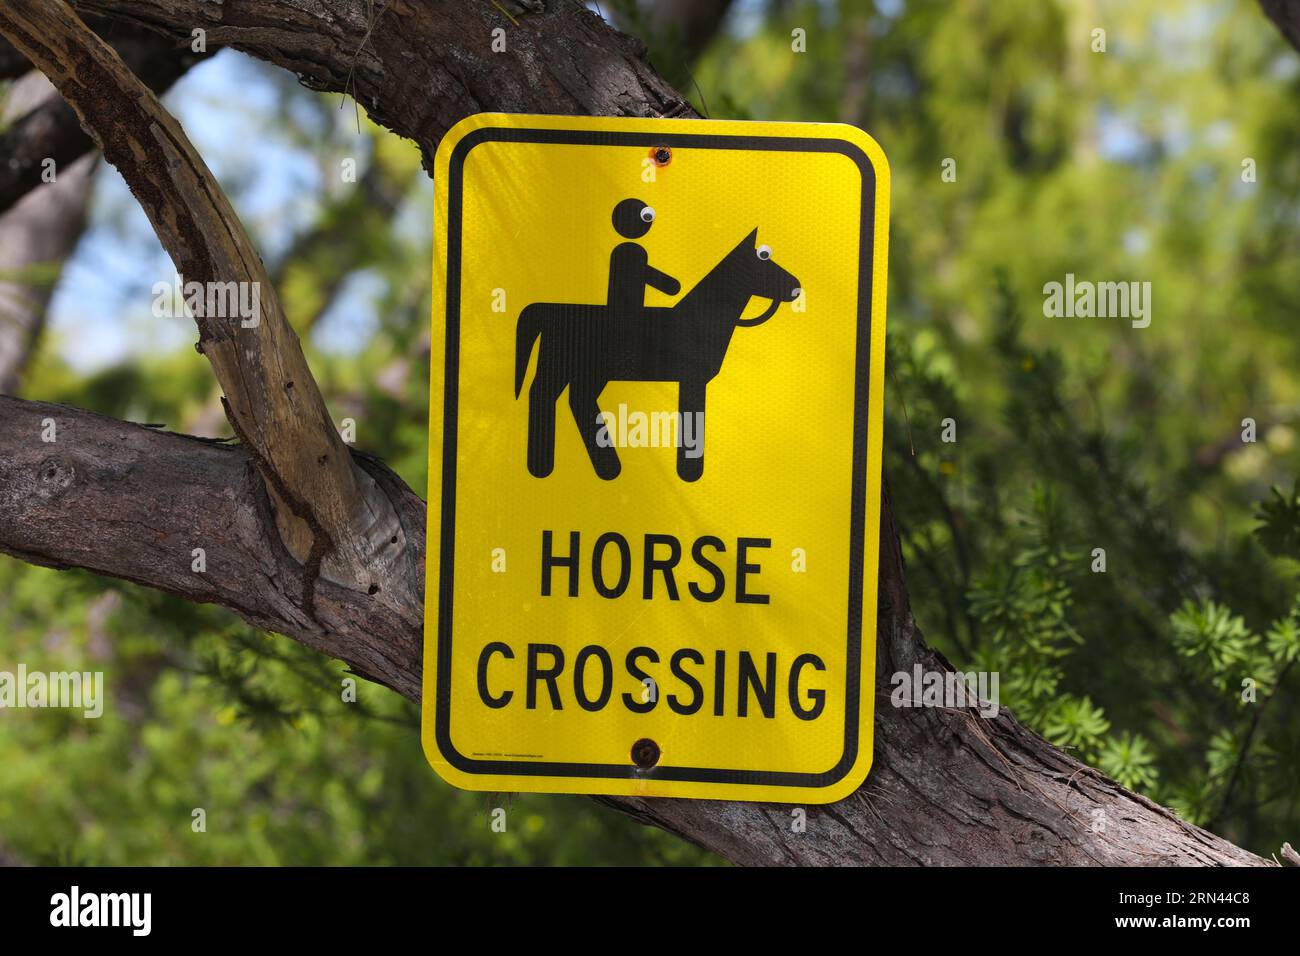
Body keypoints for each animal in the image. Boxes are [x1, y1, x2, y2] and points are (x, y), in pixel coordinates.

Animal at [514, 228, 801, 482]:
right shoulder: (693, 380)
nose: (796, 288)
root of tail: (550, 310)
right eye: (764, 256)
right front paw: (689, 472)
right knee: (553, 394)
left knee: (565, 397)